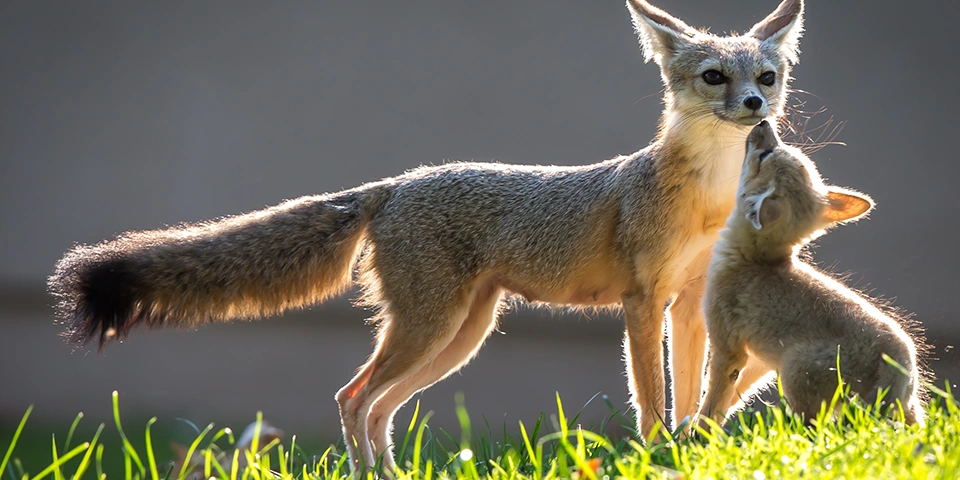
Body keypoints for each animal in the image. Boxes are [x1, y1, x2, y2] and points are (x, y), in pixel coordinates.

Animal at [48, 0, 805, 473]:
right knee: (353, 398)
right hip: (434, 330)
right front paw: (658, 453)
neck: (707, 199)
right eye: (714, 76)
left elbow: (695, 394)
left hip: (456, 338)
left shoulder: (688, 303)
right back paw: (367, 474)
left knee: (377, 406)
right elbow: (654, 399)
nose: (754, 105)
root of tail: (396, 183)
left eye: (766, 77)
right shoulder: (643, 302)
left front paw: (693, 447)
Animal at [696, 121, 926, 429]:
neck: (758, 258)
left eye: (764, 155)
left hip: (794, 375)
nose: (763, 123)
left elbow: (712, 403)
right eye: (771, 150)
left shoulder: (726, 345)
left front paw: (694, 435)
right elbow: (734, 398)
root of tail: (900, 360)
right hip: (906, 408)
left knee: (815, 430)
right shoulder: (759, 361)